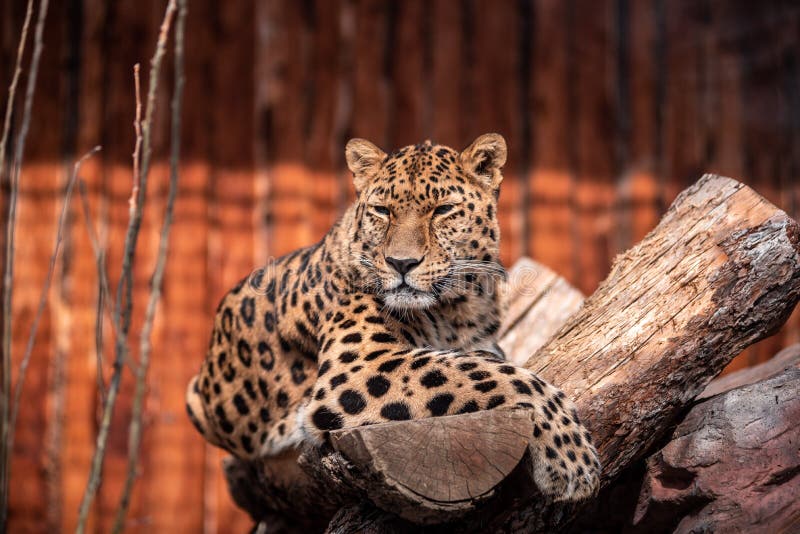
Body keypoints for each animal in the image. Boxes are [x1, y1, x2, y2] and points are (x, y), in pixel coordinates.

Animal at [186, 134, 601, 501]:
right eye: (382, 211)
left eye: (442, 210)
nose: (401, 263)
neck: (456, 307)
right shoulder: (360, 366)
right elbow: (492, 375)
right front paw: (571, 458)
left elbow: (484, 362)